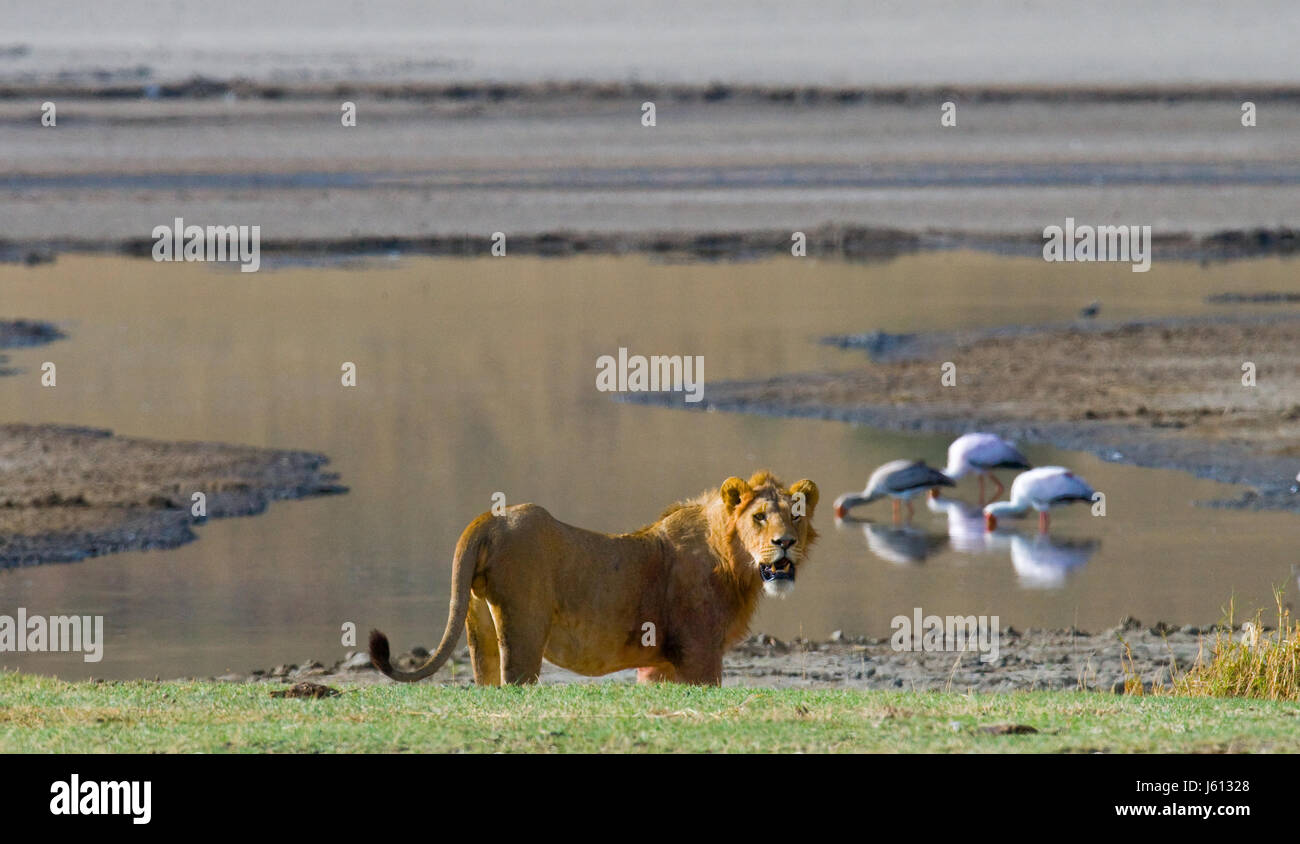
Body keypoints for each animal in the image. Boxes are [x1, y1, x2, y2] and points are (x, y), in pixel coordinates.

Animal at [369, 471, 818, 686]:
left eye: (796, 515)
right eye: (759, 517)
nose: (785, 542)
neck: (735, 561)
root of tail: (488, 520)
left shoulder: (658, 665)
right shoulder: (699, 654)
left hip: (479, 627)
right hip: (523, 630)